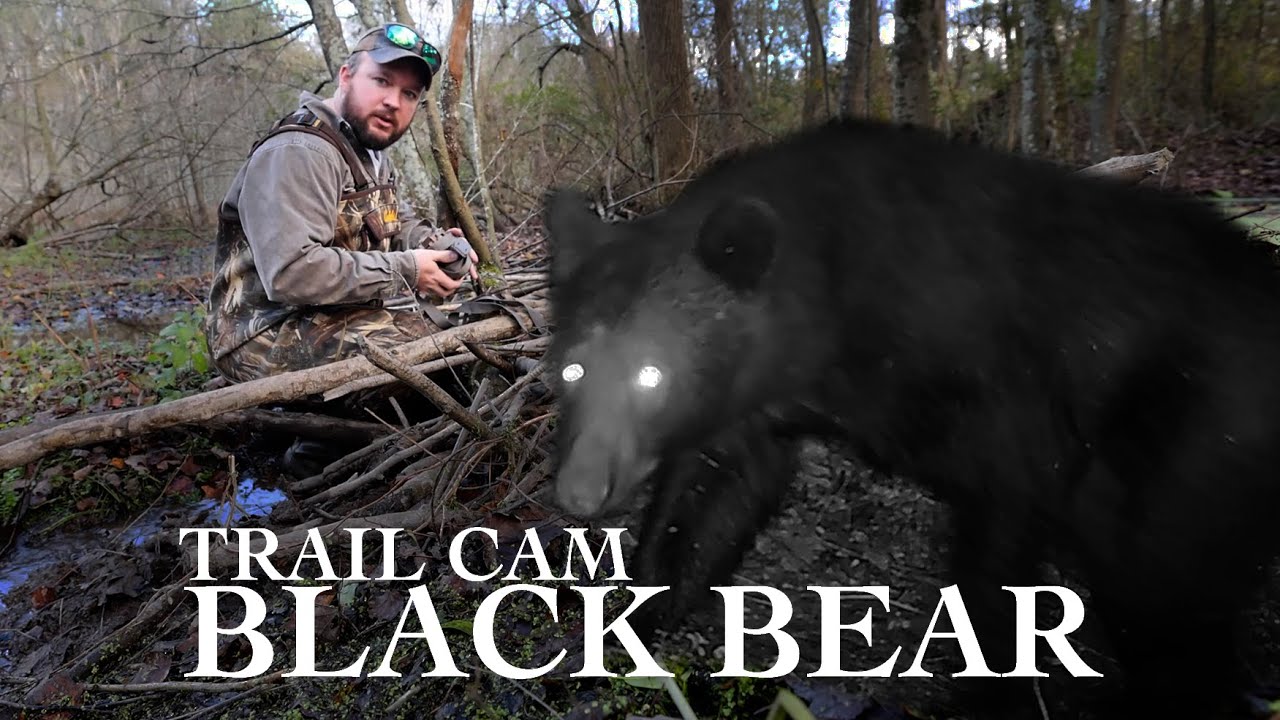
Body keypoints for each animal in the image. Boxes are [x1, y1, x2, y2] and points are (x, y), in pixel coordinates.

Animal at [541, 118, 1280, 719]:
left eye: (651, 373)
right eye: (571, 369)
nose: (579, 492)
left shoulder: (995, 379)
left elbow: (1006, 522)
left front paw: (988, 687)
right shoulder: (752, 397)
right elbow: (709, 497)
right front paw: (618, 639)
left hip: (1192, 446)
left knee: (1163, 593)